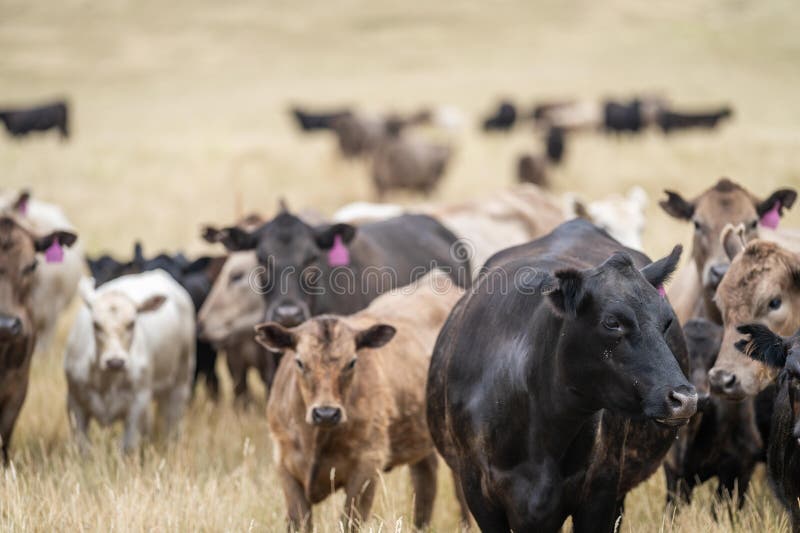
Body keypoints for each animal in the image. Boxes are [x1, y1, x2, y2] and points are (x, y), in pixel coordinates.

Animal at [65, 271, 195, 453]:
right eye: (96, 324)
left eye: (132, 323)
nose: (115, 362)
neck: (106, 381)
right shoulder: (75, 404)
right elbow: (83, 446)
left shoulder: (138, 404)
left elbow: (128, 446)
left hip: (180, 381)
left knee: (172, 421)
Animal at [256, 270, 469, 530]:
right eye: (300, 362)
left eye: (352, 362)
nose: (326, 413)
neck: (315, 438)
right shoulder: (285, 465)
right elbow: (300, 522)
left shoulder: (367, 466)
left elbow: (350, 521)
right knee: (425, 480)